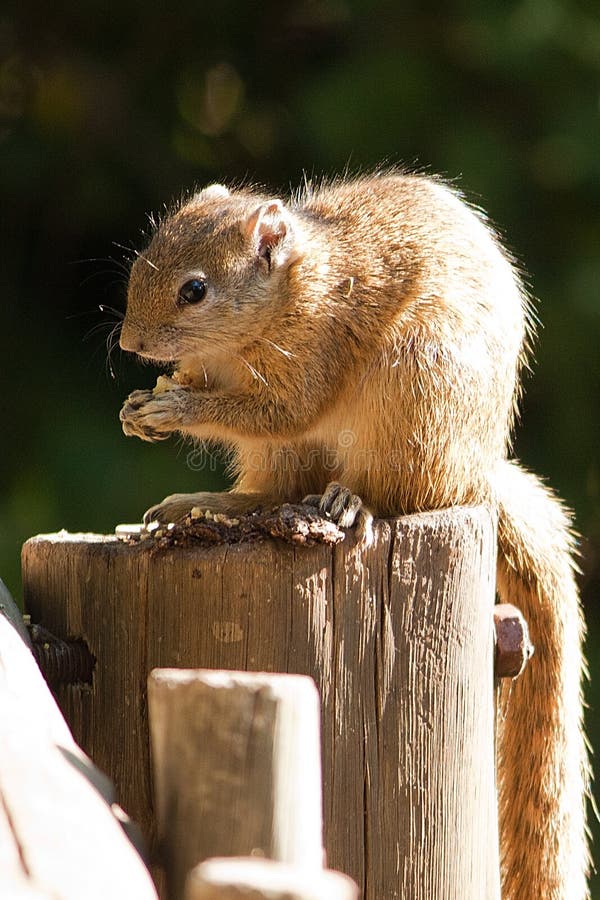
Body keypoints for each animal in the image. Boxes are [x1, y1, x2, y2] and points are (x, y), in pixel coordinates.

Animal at [119, 172, 589, 899]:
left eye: (194, 289)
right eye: (143, 259)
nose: (130, 345)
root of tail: (477, 473)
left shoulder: (316, 349)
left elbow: (280, 410)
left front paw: (175, 407)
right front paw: (138, 408)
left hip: (411, 398)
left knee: (395, 496)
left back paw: (351, 502)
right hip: (297, 456)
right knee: (274, 489)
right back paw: (208, 502)